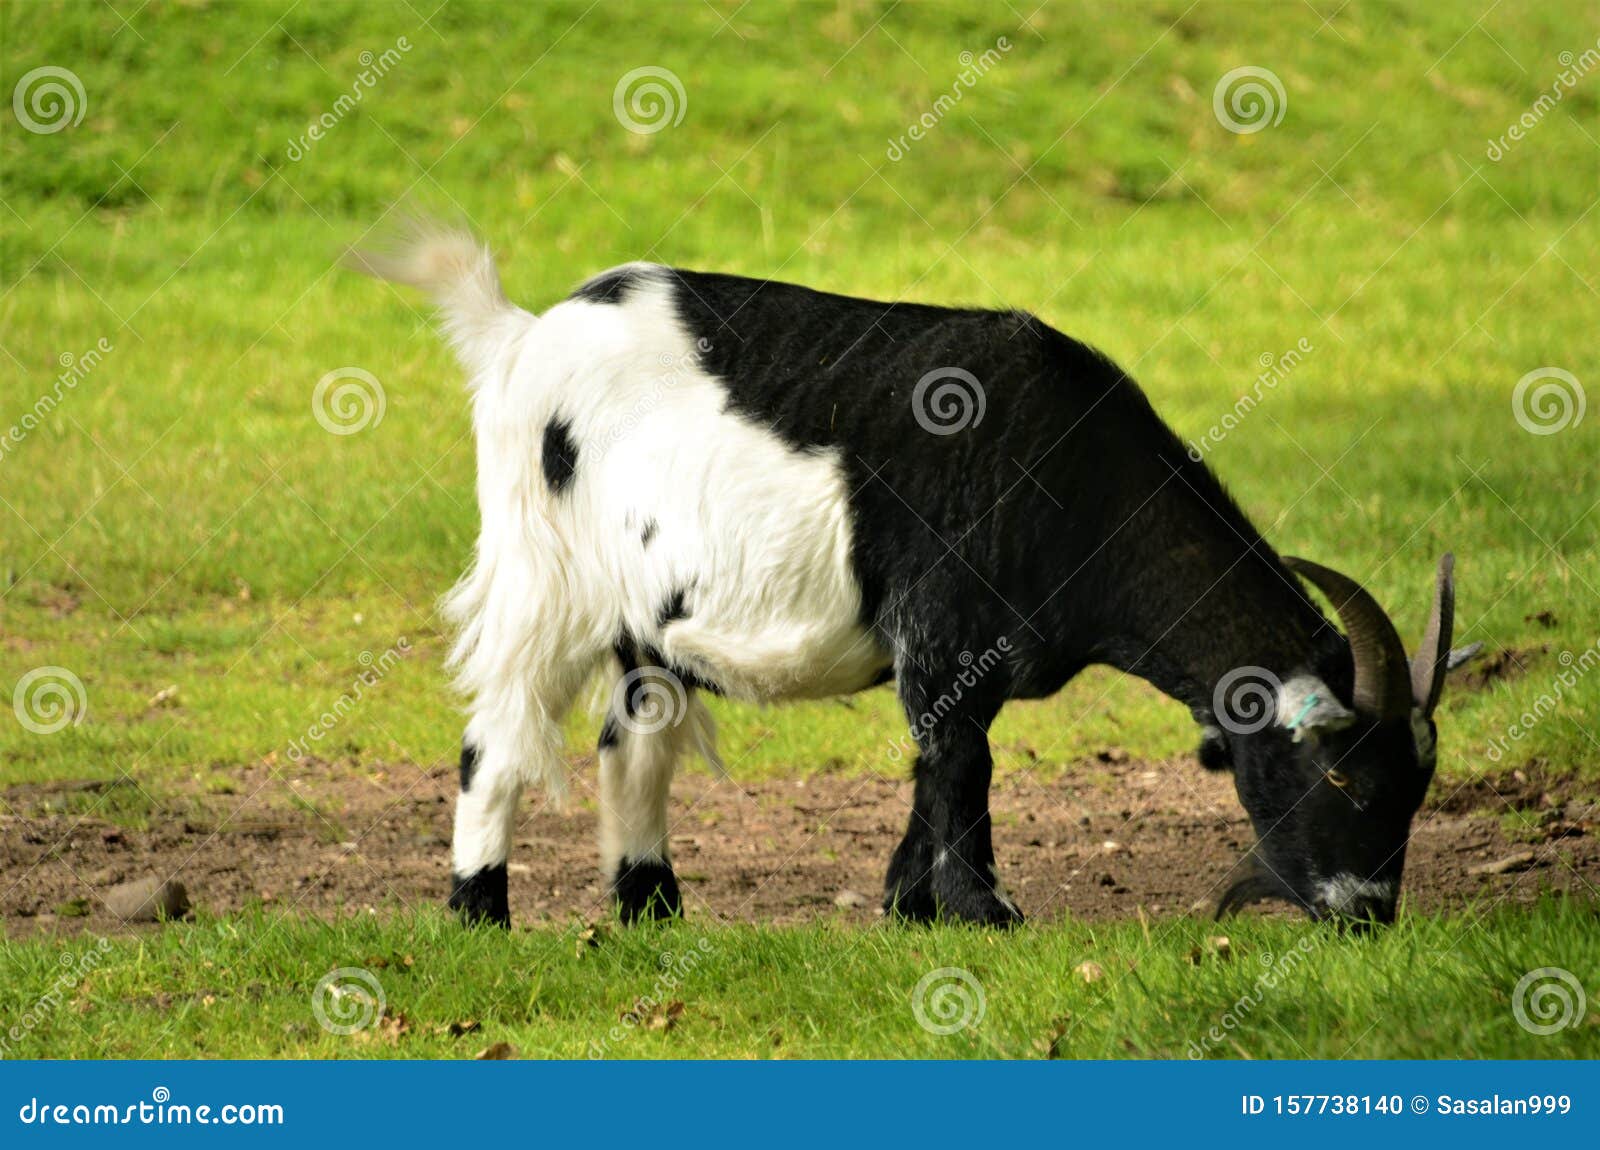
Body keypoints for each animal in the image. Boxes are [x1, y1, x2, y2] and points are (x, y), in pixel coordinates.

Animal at [350, 220, 1477, 928]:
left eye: (1418, 786)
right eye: (1339, 771)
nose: (1366, 916)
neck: (1073, 471)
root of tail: (519, 336)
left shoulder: (967, 657)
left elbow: (938, 766)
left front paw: (909, 908)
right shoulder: (941, 631)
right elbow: (960, 762)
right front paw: (985, 913)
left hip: (645, 619)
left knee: (635, 744)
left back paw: (654, 912)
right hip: (542, 575)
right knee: (495, 738)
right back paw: (481, 913)